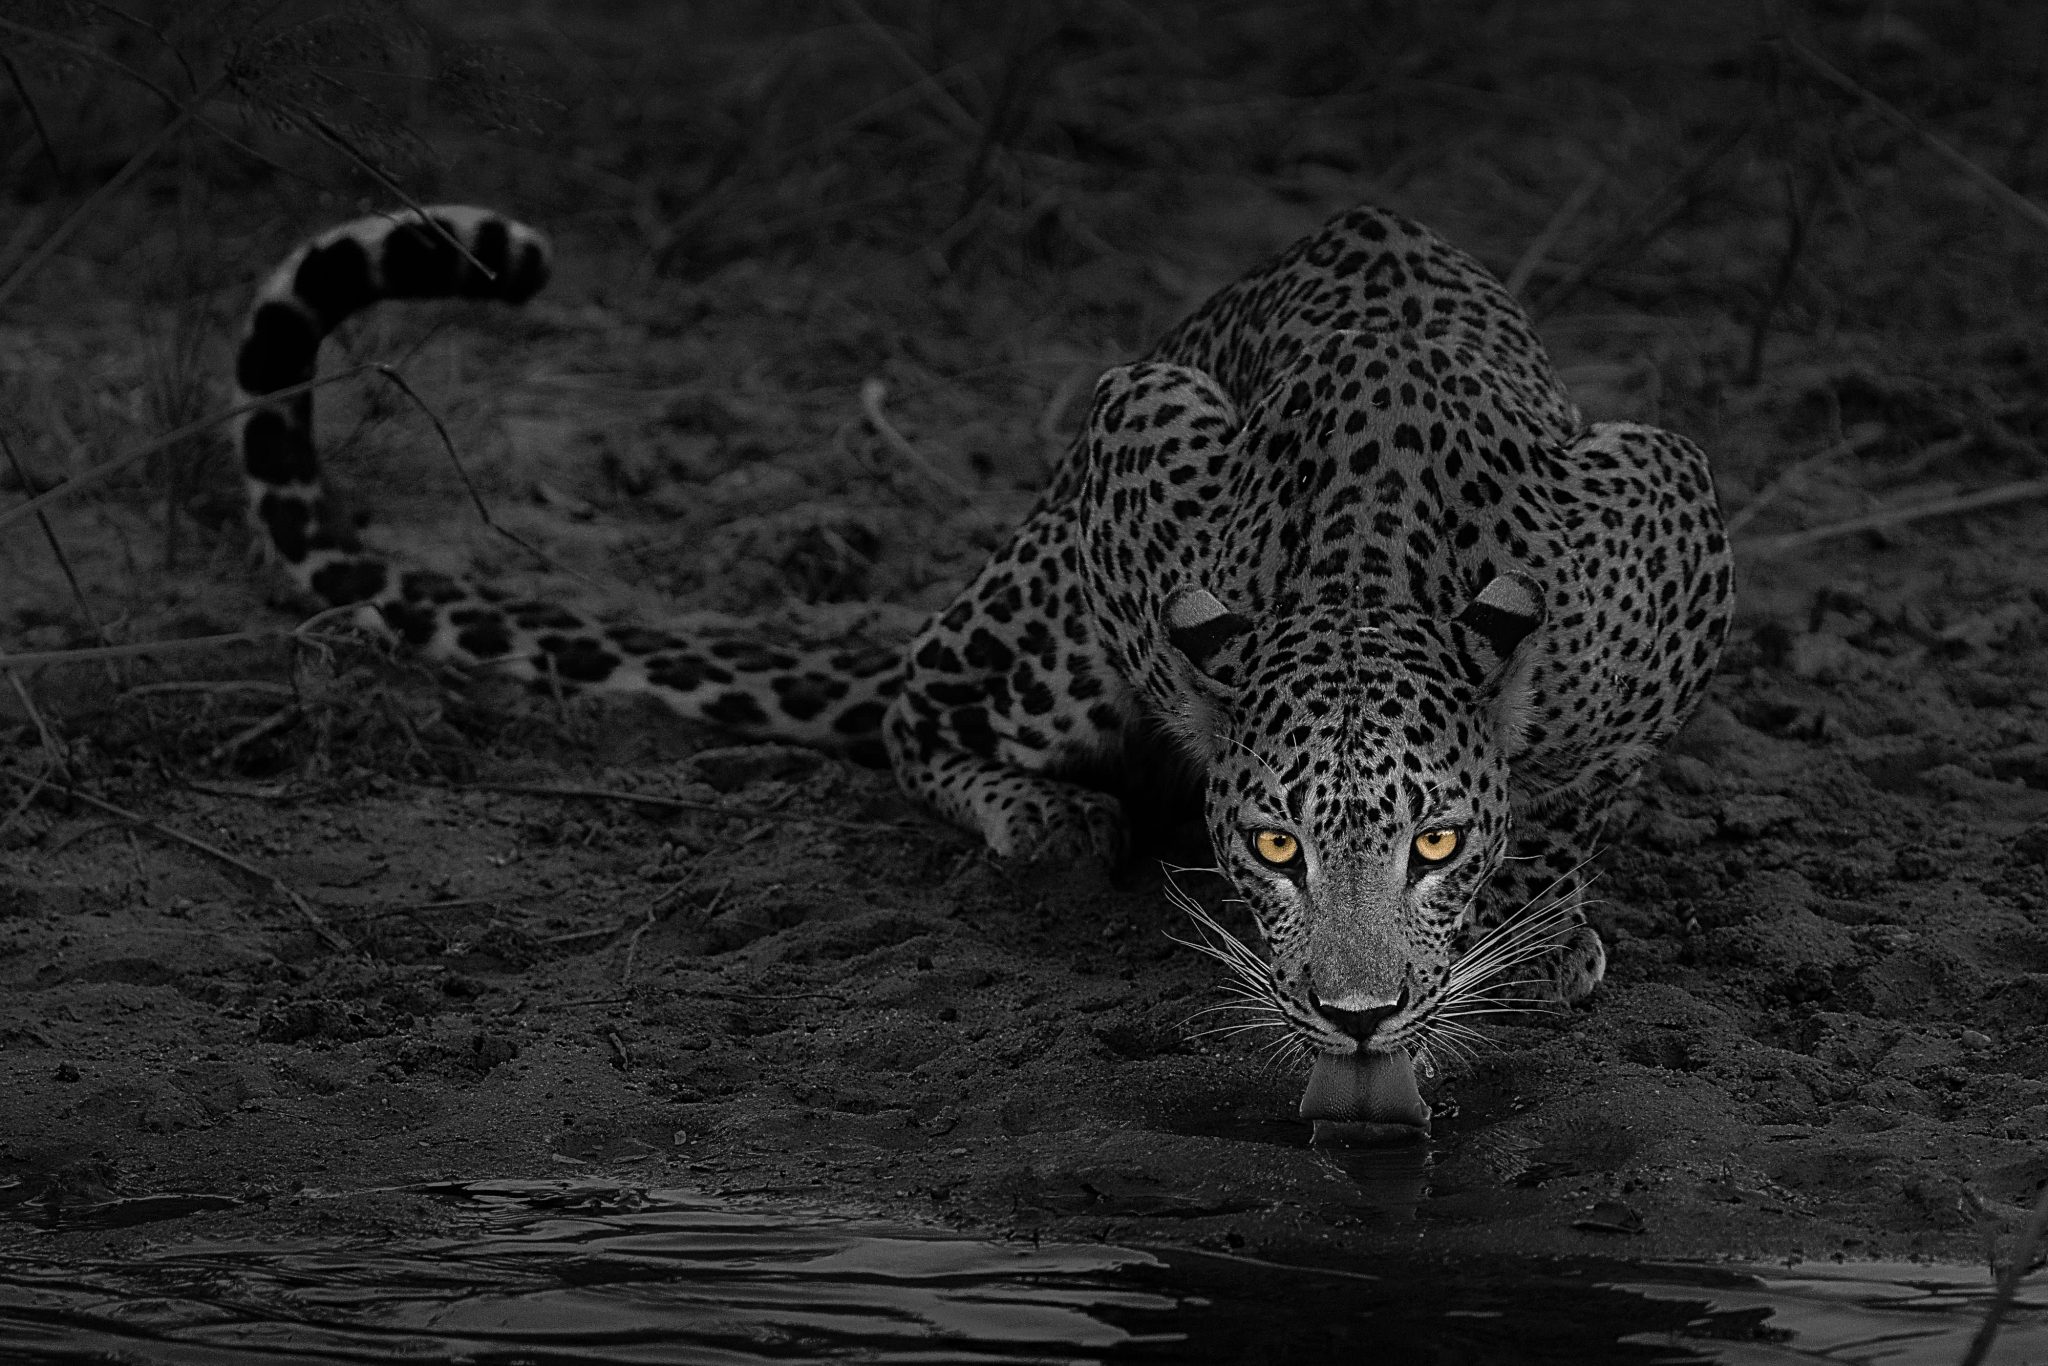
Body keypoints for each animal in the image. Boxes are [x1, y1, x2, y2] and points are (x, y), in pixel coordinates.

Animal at [232, 200, 1733, 1087]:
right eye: (1274, 847)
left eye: (1433, 843)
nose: (1356, 1016)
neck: (1370, 571)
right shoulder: (1142, 423)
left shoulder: (1665, 502)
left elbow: (1577, 791)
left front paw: (1530, 930)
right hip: (1053, 609)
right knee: (918, 703)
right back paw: (1052, 819)